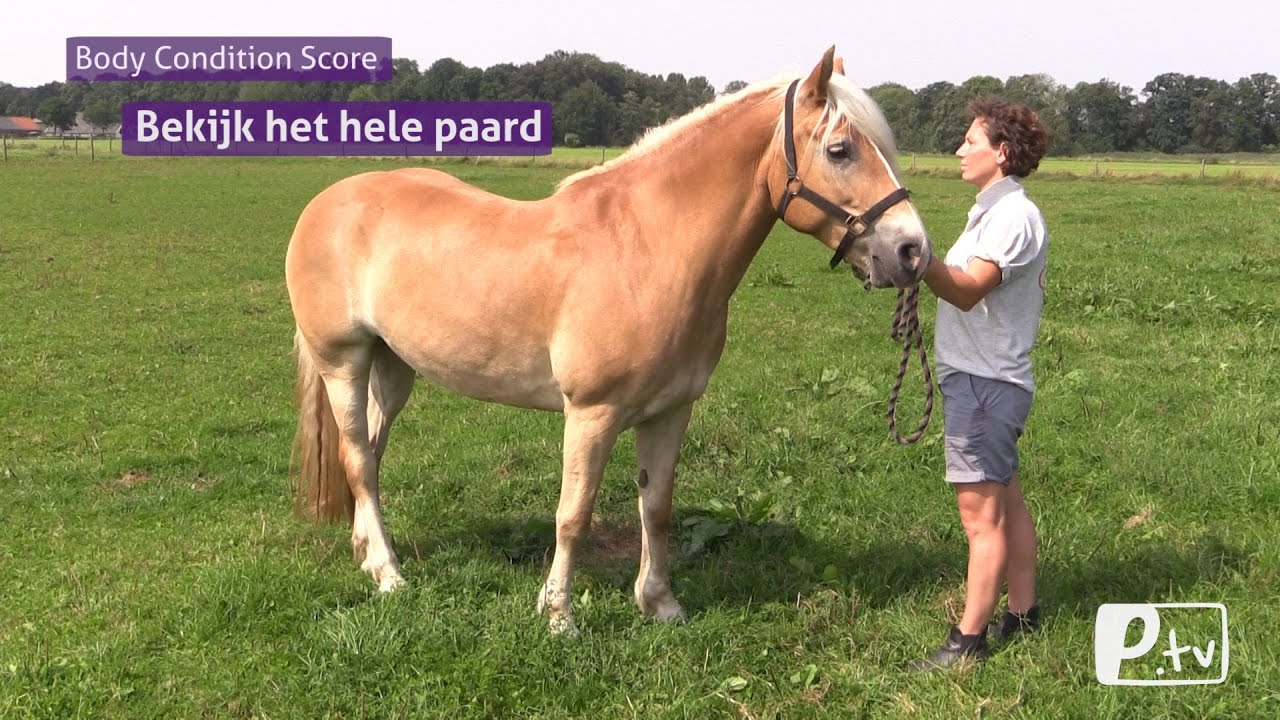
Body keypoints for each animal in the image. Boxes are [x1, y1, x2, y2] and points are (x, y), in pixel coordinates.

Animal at [286, 47, 931, 636]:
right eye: (840, 150)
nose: (911, 251)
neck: (647, 249)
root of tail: (326, 202)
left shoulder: (670, 412)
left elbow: (657, 508)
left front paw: (660, 604)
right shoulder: (591, 414)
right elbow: (573, 515)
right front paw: (559, 616)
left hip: (395, 367)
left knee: (369, 455)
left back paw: (367, 555)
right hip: (343, 363)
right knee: (358, 458)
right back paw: (390, 574)